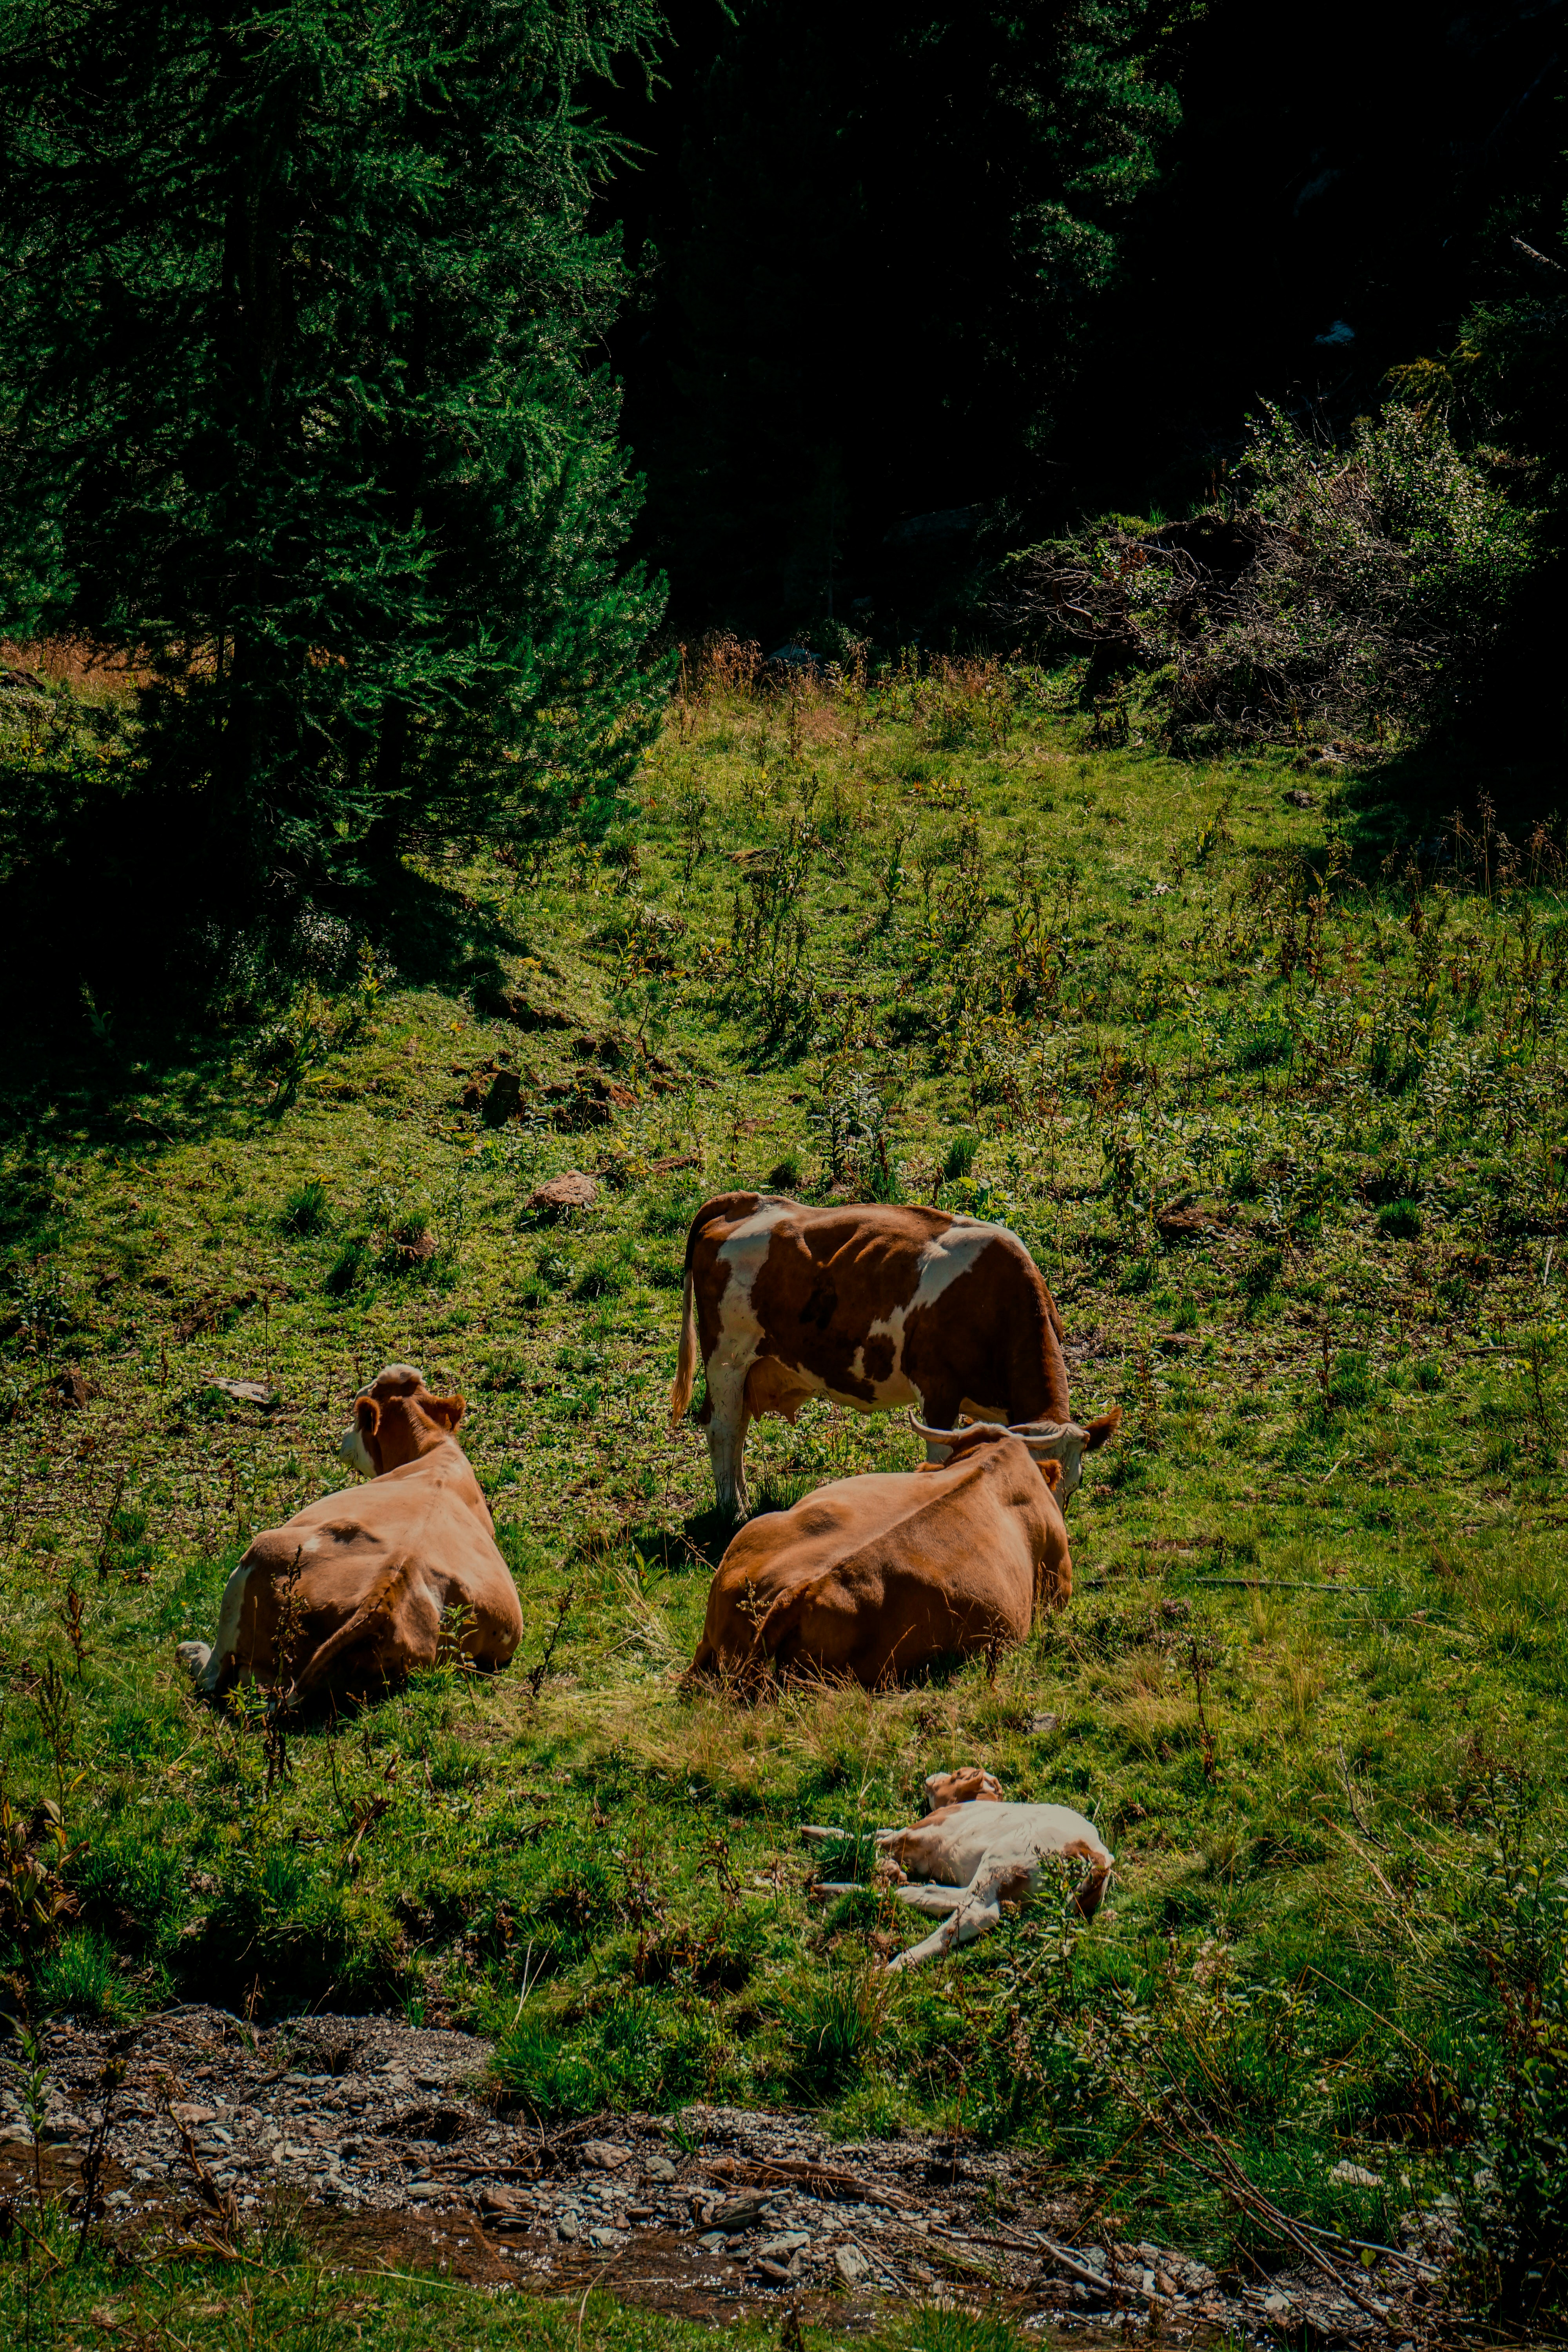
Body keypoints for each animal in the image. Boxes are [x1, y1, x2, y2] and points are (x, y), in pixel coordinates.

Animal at [176, 1365, 523, 1705]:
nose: (342, 1438)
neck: (434, 1449)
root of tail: (387, 1592)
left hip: (260, 1553)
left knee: (216, 1675)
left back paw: (191, 1651)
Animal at [669, 1192, 1117, 1518]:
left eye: (1074, 1485)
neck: (995, 1300)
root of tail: (745, 1201)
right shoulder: (938, 1392)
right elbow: (941, 1464)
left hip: (750, 1367)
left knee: (738, 1428)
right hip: (726, 1357)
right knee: (723, 1428)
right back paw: (734, 1510)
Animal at [802, 1764, 1114, 1971]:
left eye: (956, 1775)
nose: (931, 1776)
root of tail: (1099, 1856)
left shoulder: (918, 1832)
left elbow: (868, 1838)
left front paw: (817, 1832)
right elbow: (880, 1836)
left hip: (1003, 1859)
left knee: (977, 1913)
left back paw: (897, 1965)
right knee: (935, 1897)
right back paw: (836, 1890)